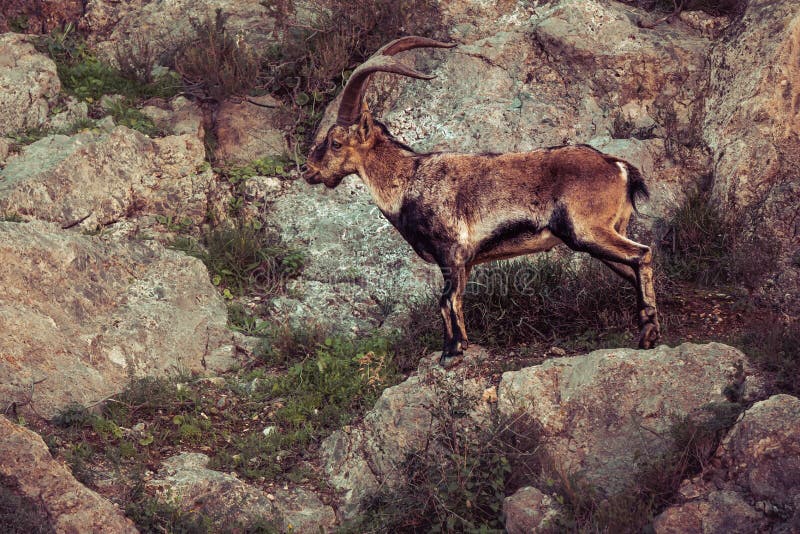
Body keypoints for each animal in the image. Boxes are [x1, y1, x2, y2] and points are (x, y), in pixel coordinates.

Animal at [303, 36, 660, 367]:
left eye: (335, 143)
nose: (308, 170)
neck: (408, 181)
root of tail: (619, 167)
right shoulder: (466, 261)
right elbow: (455, 299)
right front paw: (459, 345)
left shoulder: (451, 252)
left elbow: (446, 300)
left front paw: (451, 352)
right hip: (606, 232)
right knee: (633, 267)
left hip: (588, 229)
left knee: (642, 254)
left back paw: (649, 335)